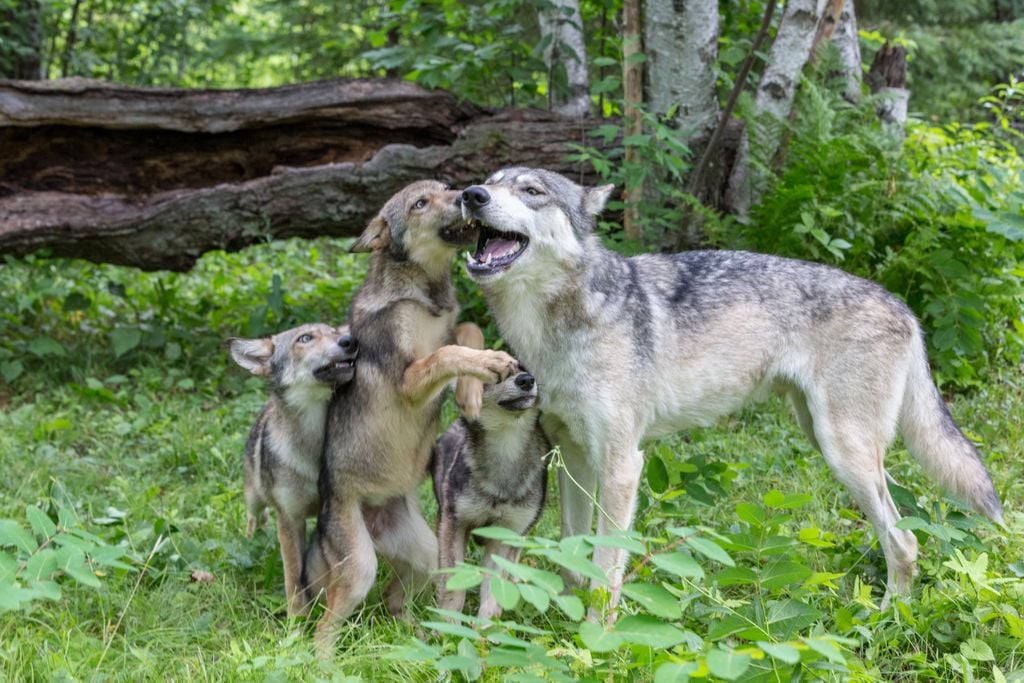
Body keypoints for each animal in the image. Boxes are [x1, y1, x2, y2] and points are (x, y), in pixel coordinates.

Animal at [228, 322, 358, 616]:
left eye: (334, 331)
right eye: (305, 338)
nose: (351, 340)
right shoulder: (289, 519)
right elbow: (294, 579)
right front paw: (297, 621)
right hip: (254, 498)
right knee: (253, 519)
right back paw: (250, 542)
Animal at [301, 180, 519, 652]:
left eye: (445, 188)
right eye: (420, 203)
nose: (468, 193)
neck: (424, 294)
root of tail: (372, 519)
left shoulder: (451, 328)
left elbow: (467, 332)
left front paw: (472, 390)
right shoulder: (408, 377)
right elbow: (448, 353)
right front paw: (486, 366)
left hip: (427, 556)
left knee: (392, 601)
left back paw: (416, 638)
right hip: (359, 569)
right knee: (325, 627)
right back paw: (325, 662)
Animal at [432, 369, 550, 620]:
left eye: (528, 370)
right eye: (498, 373)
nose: (526, 380)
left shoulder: (508, 532)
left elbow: (495, 592)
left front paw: (486, 628)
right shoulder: (455, 523)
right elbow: (454, 587)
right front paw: (447, 625)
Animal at [459, 167, 1004, 611]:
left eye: (531, 191)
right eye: (489, 180)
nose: (470, 194)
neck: (557, 325)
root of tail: (903, 306)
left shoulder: (621, 465)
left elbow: (606, 568)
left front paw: (600, 638)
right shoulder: (572, 458)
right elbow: (575, 559)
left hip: (842, 451)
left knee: (905, 542)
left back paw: (887, 620)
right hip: (831, 441)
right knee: (909, 524)